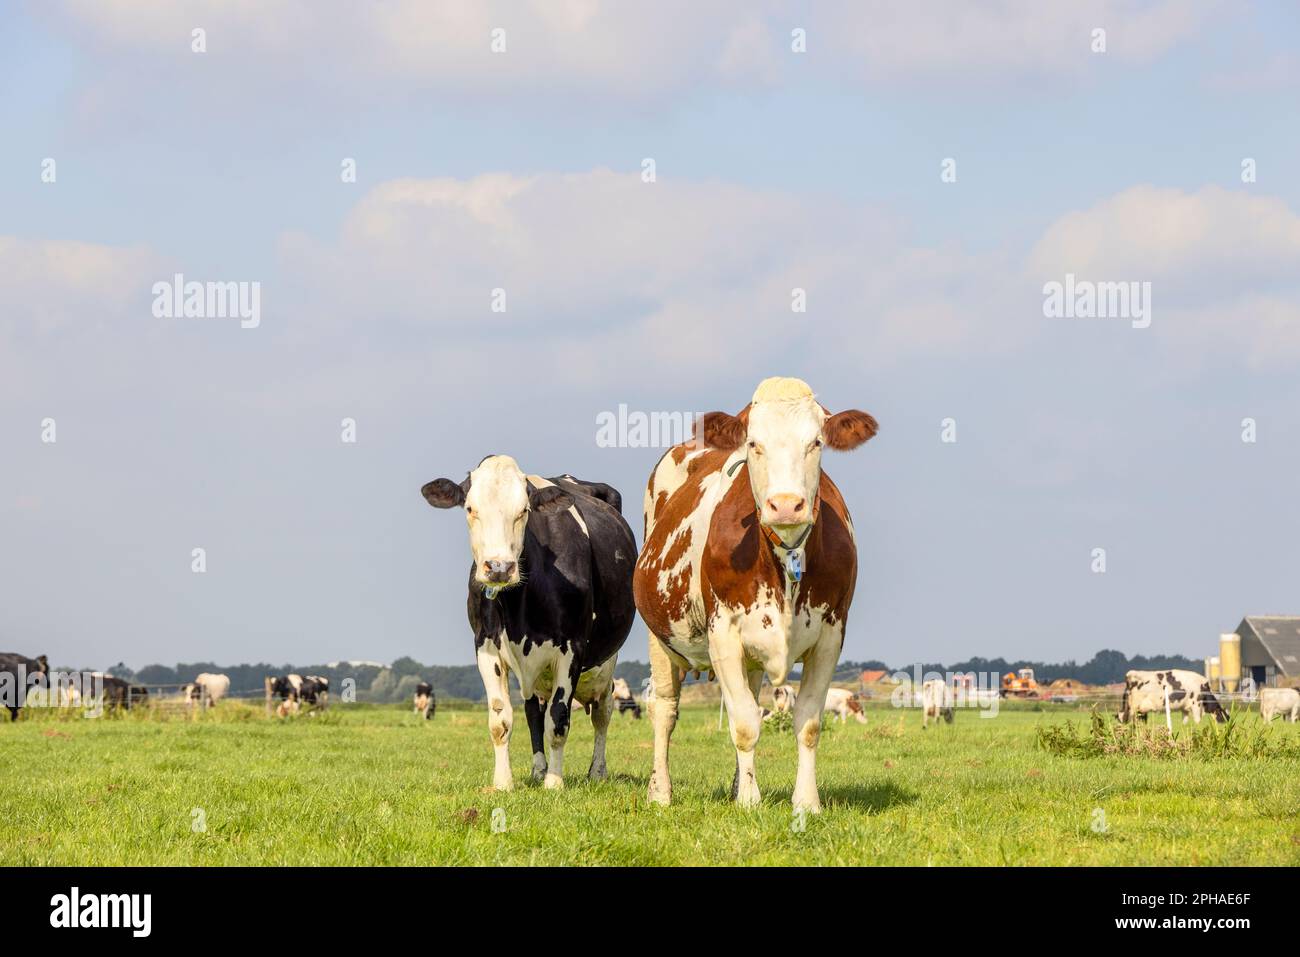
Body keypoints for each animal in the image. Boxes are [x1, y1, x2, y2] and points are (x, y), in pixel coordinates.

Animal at [421, 456, 637, 790]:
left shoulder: (572, 647)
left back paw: (596, 771)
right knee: (534, 711)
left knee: (603, 709)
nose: (499, 567)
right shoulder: (485, 646)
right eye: (470, 508)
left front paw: (554, 783)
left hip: (606, 660)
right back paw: (538, 769)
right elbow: (501, 720)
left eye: (524, 510)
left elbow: (559, 718)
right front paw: (503, 783)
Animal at [634, 377, 877, 811]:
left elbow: (807, 722)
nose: (786, 505)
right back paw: (660, 792)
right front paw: (749, 801)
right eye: (753, 443)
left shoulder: (832, 635)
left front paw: (805, 802)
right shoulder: (723, 633)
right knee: (665, 709)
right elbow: (746, 724)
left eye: (816, 442)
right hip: (658, 635)